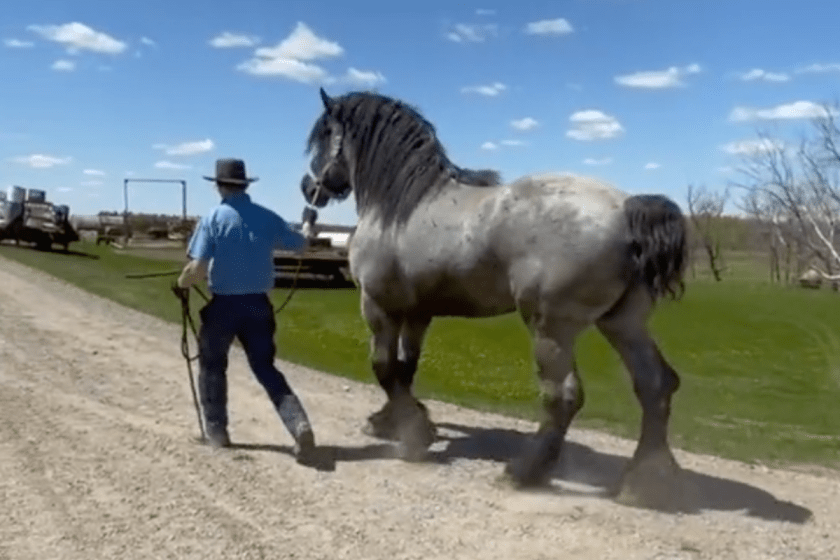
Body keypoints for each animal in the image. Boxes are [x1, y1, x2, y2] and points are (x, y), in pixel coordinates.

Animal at [301, 88, 689, 506]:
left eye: (326, 135)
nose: (310, 188)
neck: (401, 207)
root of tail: (627, 207)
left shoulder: (378, 307)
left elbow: (384, 367)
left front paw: (414, 437)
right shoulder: (417, 312)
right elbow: (406, 369)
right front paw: (393, 422)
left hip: (551, 329)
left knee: (564, 396)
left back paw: (524, 472)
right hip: (623, 323)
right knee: (655, 385)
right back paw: (647, 482)